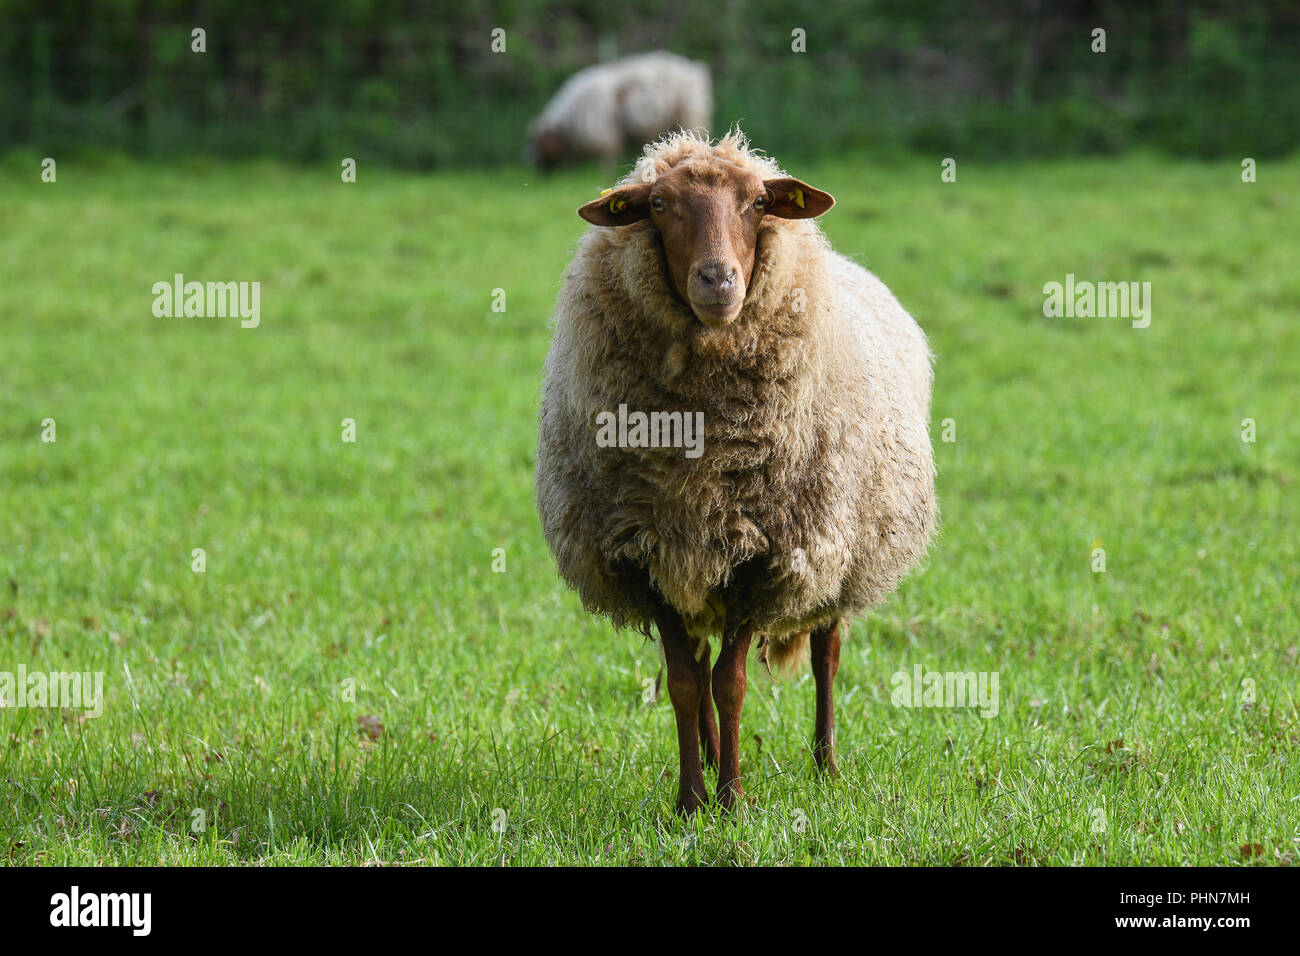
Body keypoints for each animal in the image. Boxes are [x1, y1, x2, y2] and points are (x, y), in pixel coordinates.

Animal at [527, 52, 711, 170]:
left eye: (539, 144)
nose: (538, 174)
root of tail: (694, 70)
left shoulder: (604, 135)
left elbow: (608, 157)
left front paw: (604, 173)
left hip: (688, 117)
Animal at [535, 129, 937, 814]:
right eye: (659, 205)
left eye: (757, 202)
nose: (718, 279)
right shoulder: (644, 550)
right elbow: (685, 682)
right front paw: (690, 801)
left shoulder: (769, 554)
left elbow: (732, 682)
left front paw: (731, 799)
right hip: (696, 565)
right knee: (698, 662)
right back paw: (708, 757)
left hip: (838, 552)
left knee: (826, 653)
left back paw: (826, 764)